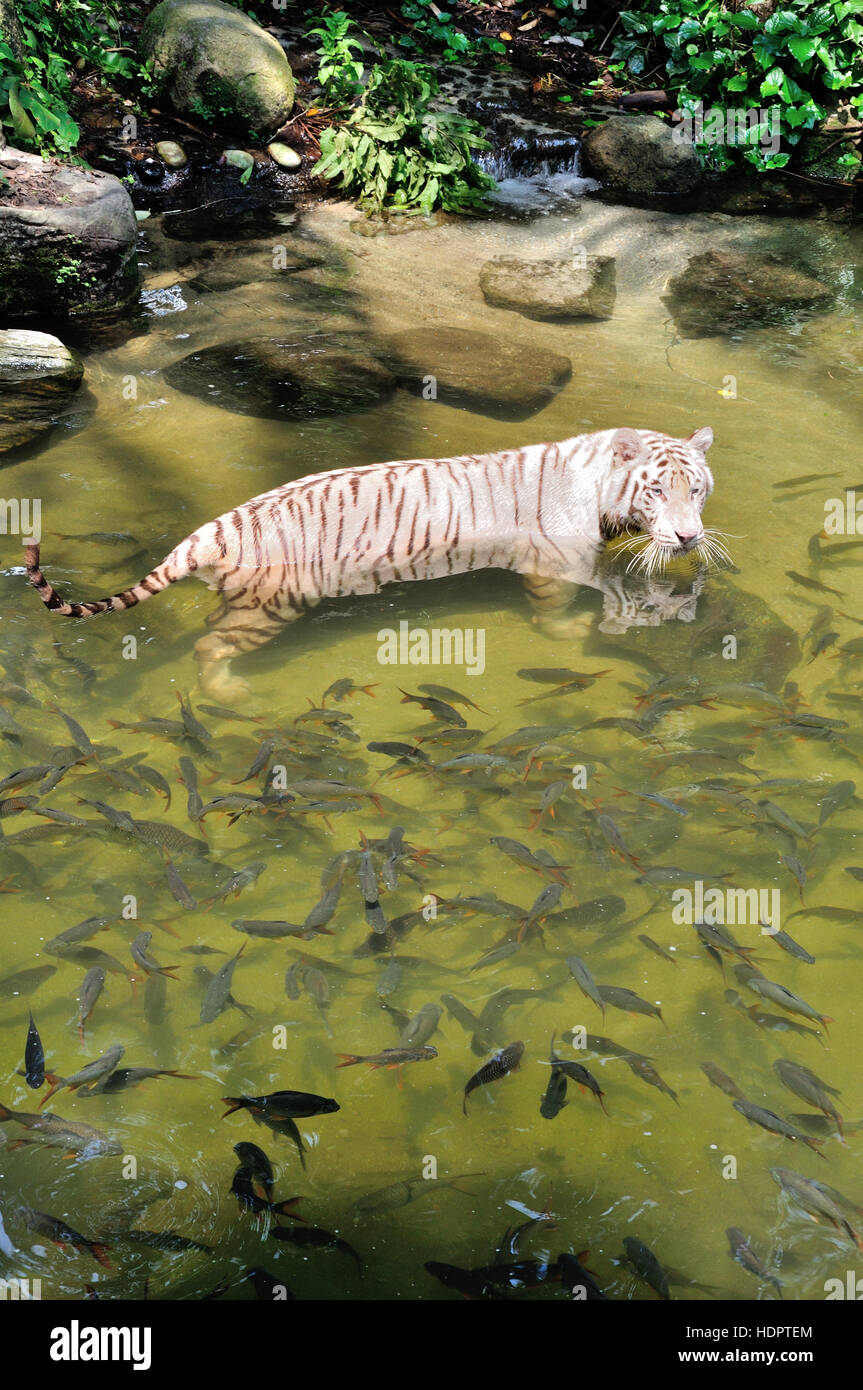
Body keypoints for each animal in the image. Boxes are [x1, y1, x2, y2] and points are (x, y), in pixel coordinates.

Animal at [24, 425, 719, 698]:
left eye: (698, 490)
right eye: (658, 490)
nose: (689, 538)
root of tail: (214, 528)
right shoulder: (552, 566)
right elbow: (554, 615)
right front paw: (576, 631)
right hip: (272, 606)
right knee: (208, 646)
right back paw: (232, 692)